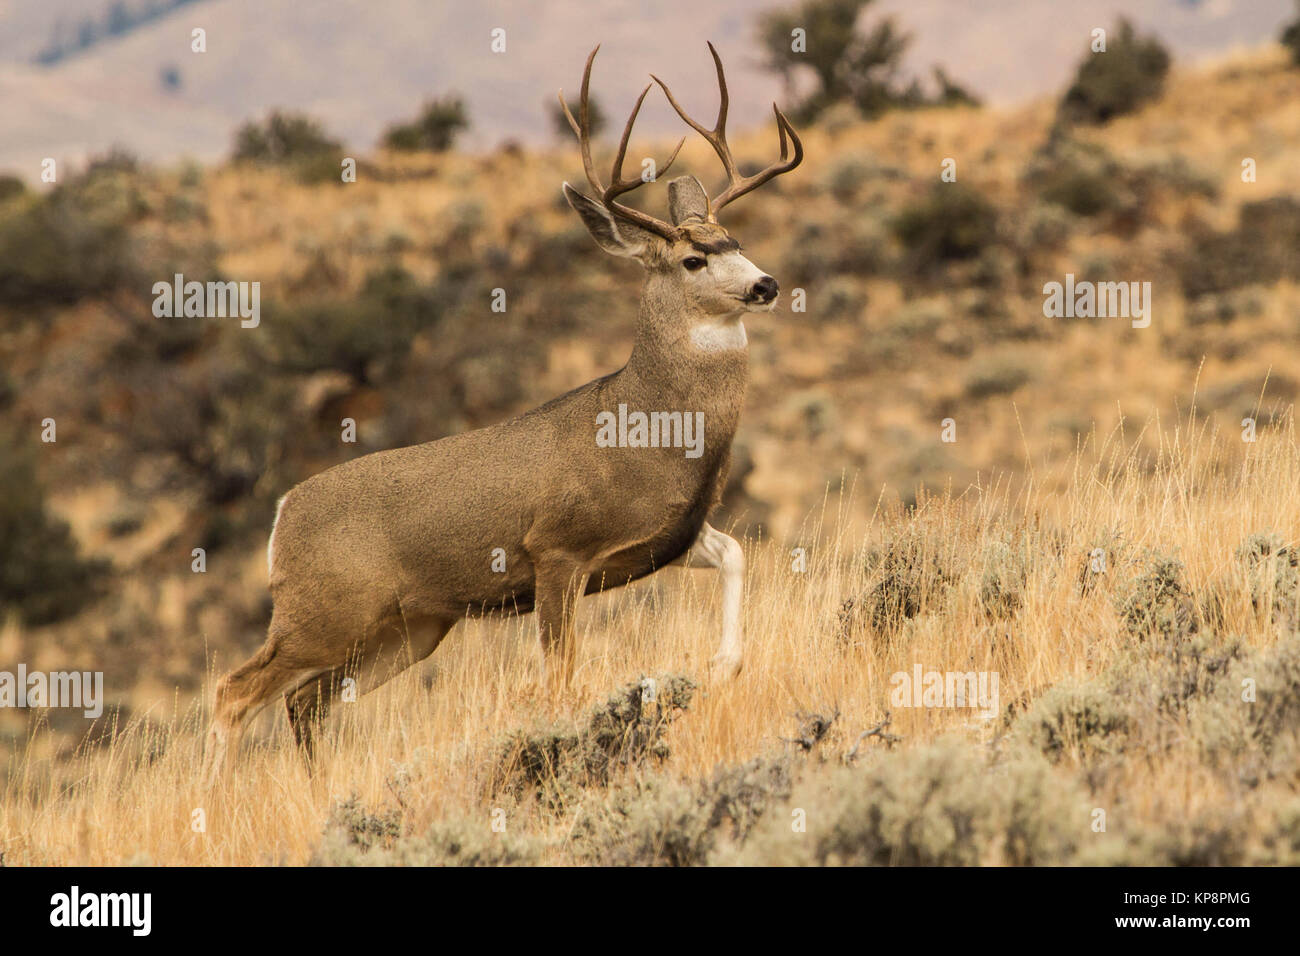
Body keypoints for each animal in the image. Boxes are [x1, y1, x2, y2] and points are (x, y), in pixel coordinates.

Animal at [201, 42, 802, 783]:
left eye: (736, 241)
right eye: (693, 259)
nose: (765, 284)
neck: (648, 428)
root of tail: (282, 515)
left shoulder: (671, 537)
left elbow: (736, 553)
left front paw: (721, 666)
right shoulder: (556, 550)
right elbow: (560, 678)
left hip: (408, 627)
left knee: (305, 702)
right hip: (323, 610)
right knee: (235, 692)